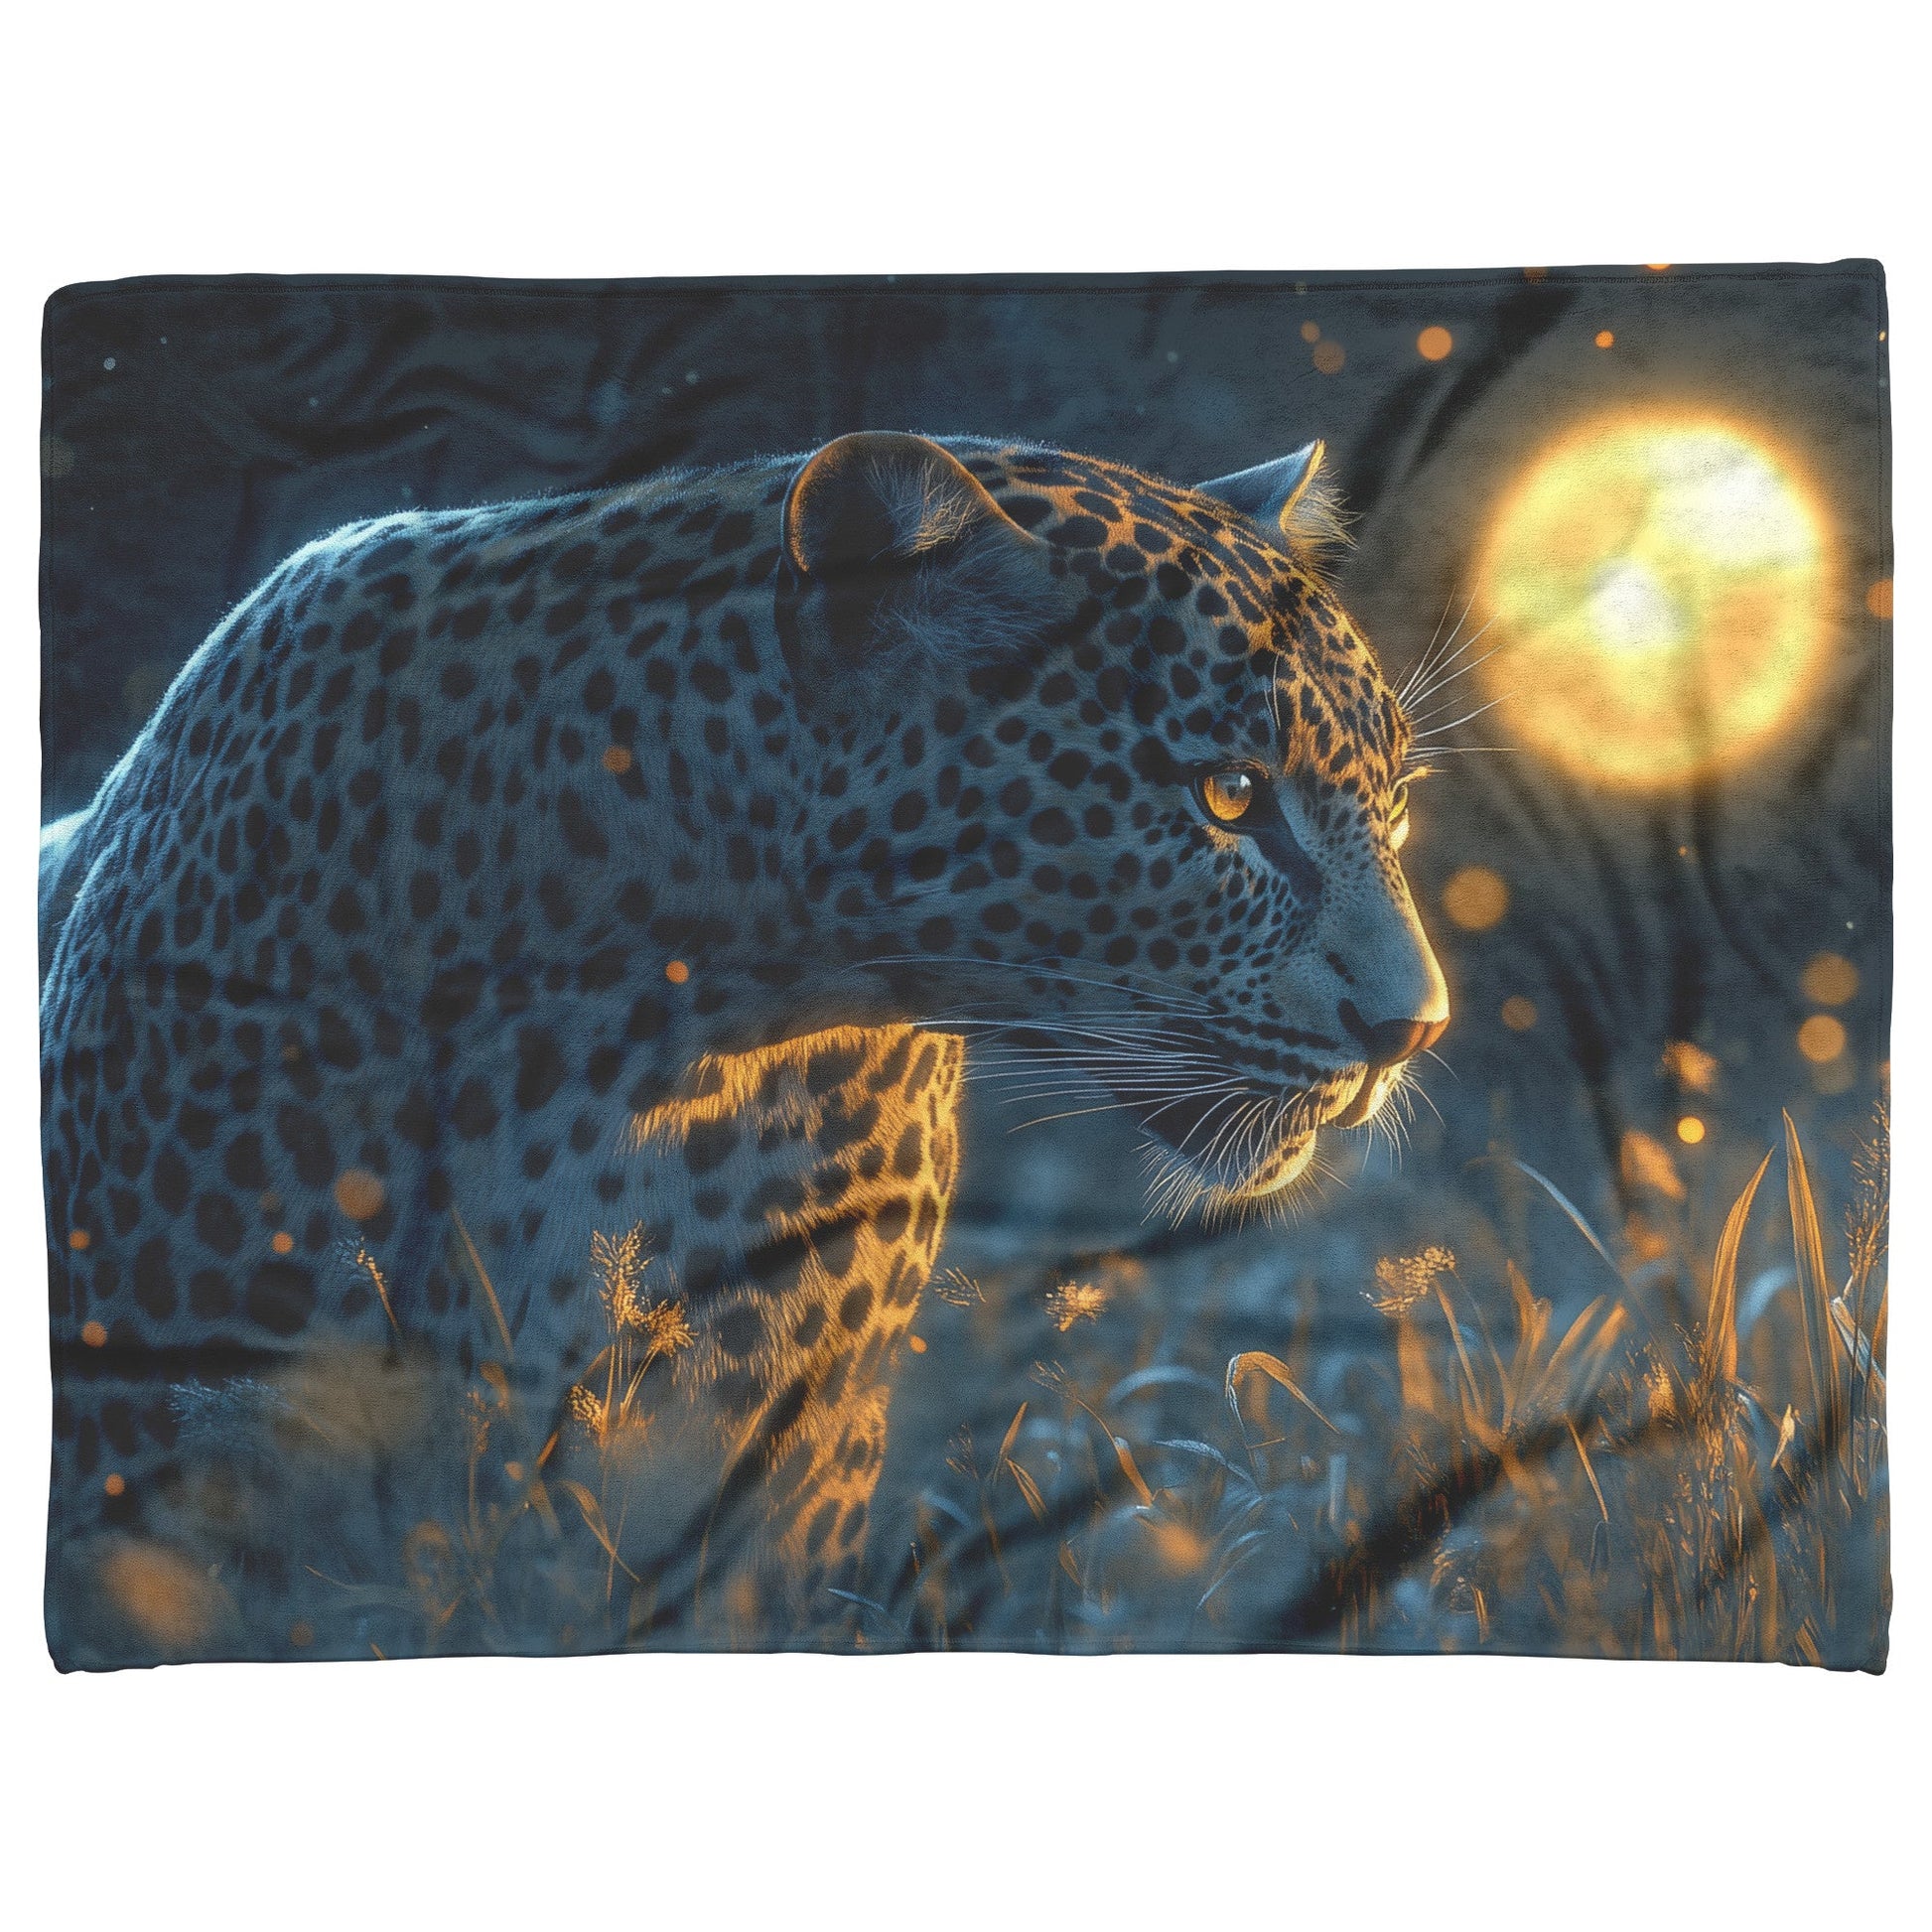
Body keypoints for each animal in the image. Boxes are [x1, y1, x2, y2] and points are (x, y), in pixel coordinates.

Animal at [40, 429, 1447, 1664]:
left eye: (1394, 812)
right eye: (1226, 795)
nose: (1411, 1027)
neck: (667, 1017)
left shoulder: (749, 1502)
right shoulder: (171, 1460)